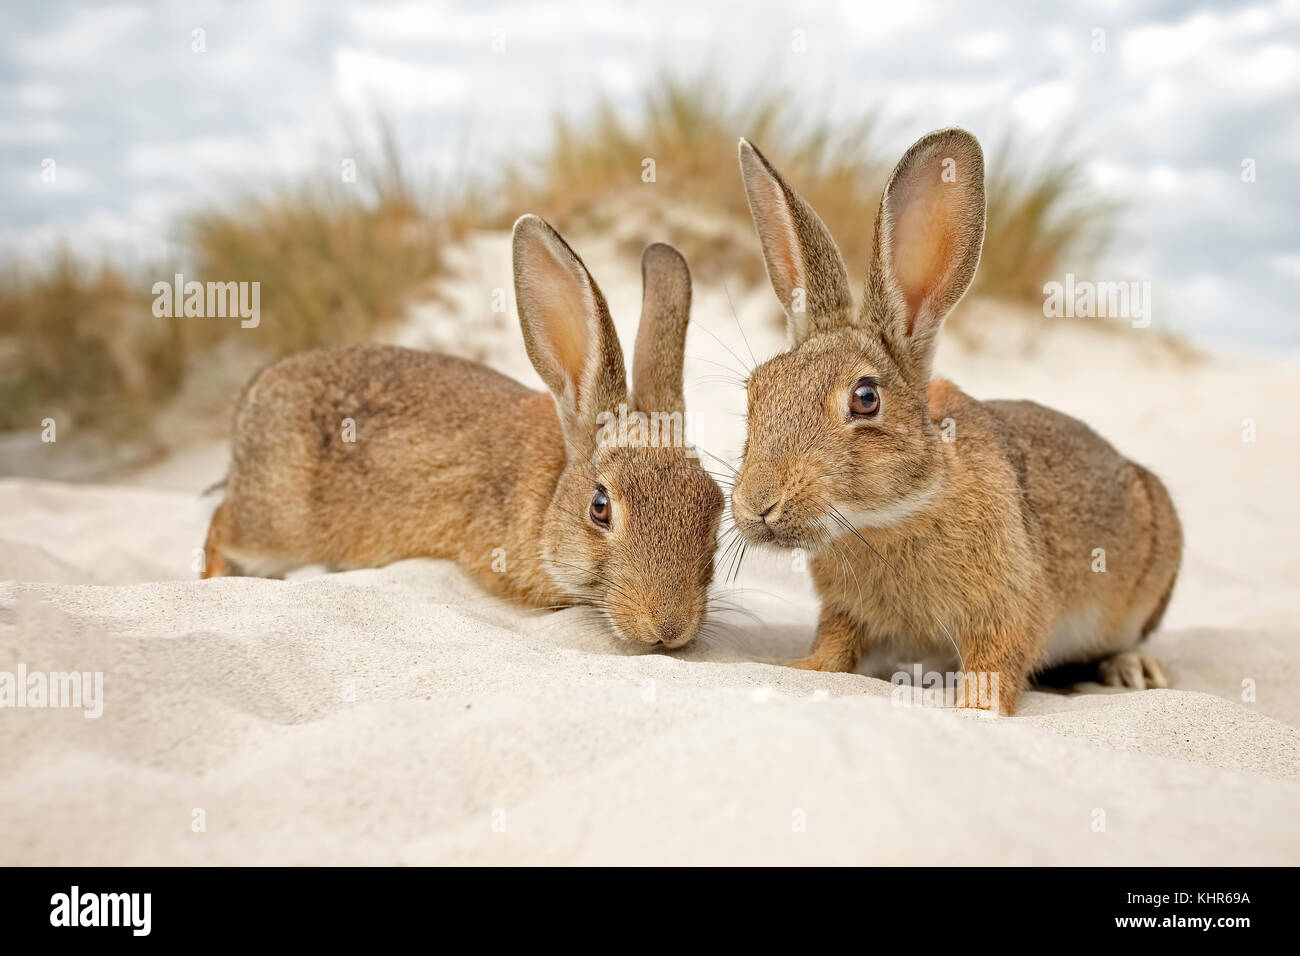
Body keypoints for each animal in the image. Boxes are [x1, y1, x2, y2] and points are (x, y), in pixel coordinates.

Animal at [202, 215, 725, 650]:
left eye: (713, 510)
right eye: (600, 507)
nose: (668, 627)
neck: (549, 495)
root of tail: (252, 401)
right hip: (277, 526)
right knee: (222, 526)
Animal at [729, 129, 1182, 713]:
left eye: (866, 398)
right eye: (756, 390)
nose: (758, 504)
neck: (888, 519)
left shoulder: (1010, 606)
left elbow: (997, 661)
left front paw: (975, 708)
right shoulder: (846, 615)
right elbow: (834, 648)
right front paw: (797, 668)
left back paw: (1134, 669)